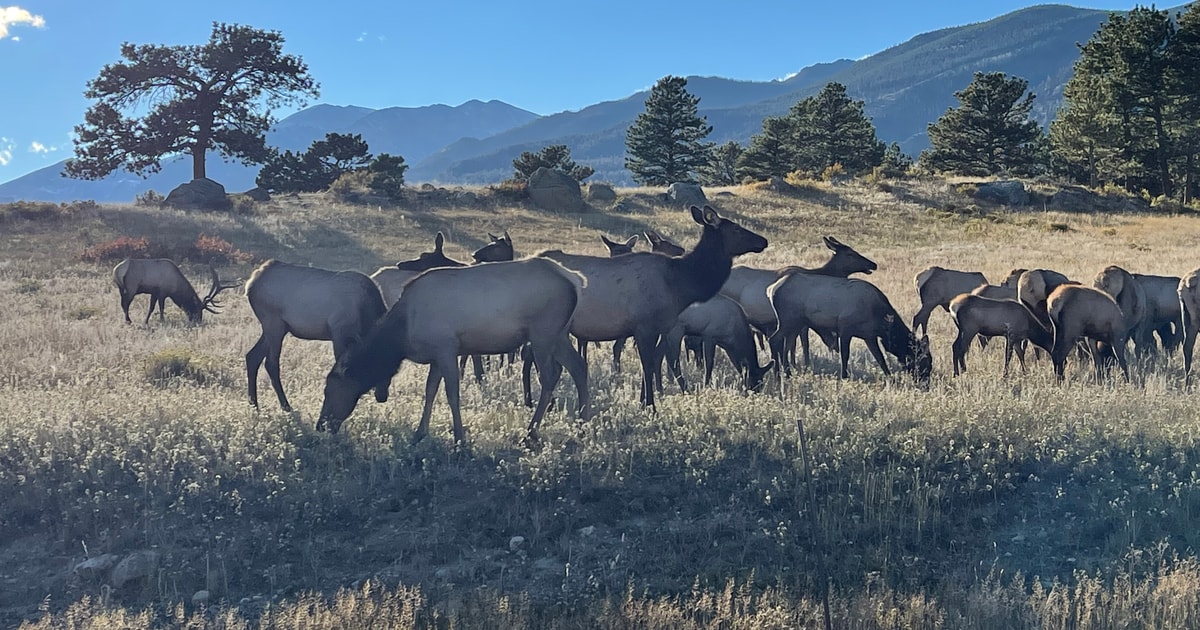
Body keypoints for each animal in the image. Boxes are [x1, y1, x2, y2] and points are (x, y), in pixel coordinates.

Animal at [244, 260, 393, 413]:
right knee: (271, 363)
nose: (382, 396)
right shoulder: (339, 332)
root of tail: (251, 283)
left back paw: (254, 405)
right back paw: (286, 406)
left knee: (252, 356)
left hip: (277, 328)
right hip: (274, 324)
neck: (366, 312)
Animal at [318, 257, 590, 446]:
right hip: (559, 334)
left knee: (550, 376)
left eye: (329, 390)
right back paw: (583, 425)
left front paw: (459, 437)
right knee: (579, 367)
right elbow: (429, 391)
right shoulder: (436, 356)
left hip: (543, 332)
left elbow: (451, 394)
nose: (321, 425)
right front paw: (419, 433)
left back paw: (531, 432)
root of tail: (575, 280)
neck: (402, 334)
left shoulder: (447, 348)